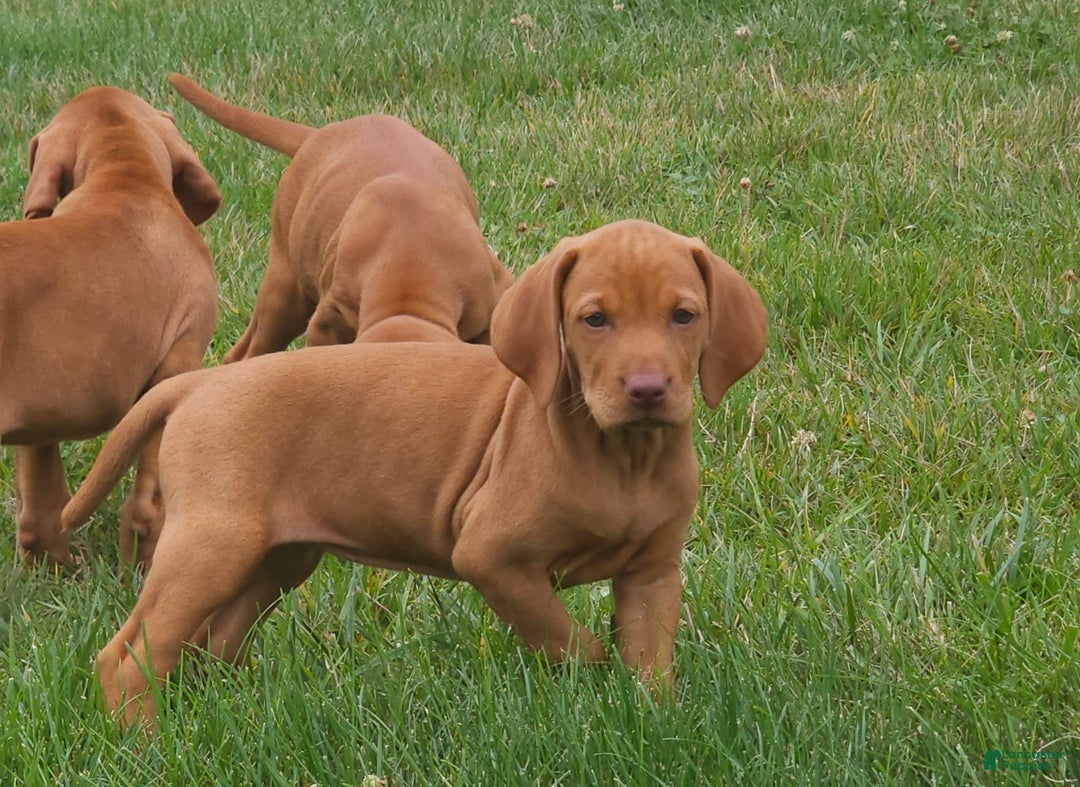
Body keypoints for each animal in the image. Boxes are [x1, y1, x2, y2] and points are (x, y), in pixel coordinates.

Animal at [62, 219, 767, 726]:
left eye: (684, 315)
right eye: (594, 320)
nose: (647, 390)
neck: (623, 459)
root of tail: (199, 383)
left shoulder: (652, 573)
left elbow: (648, 666)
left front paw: (651, 726)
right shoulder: (491, 556)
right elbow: (571, 642)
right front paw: (595, 689)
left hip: (276, 557)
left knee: (214, 643)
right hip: (212, 544)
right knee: (127, 656)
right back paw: (145, 745)